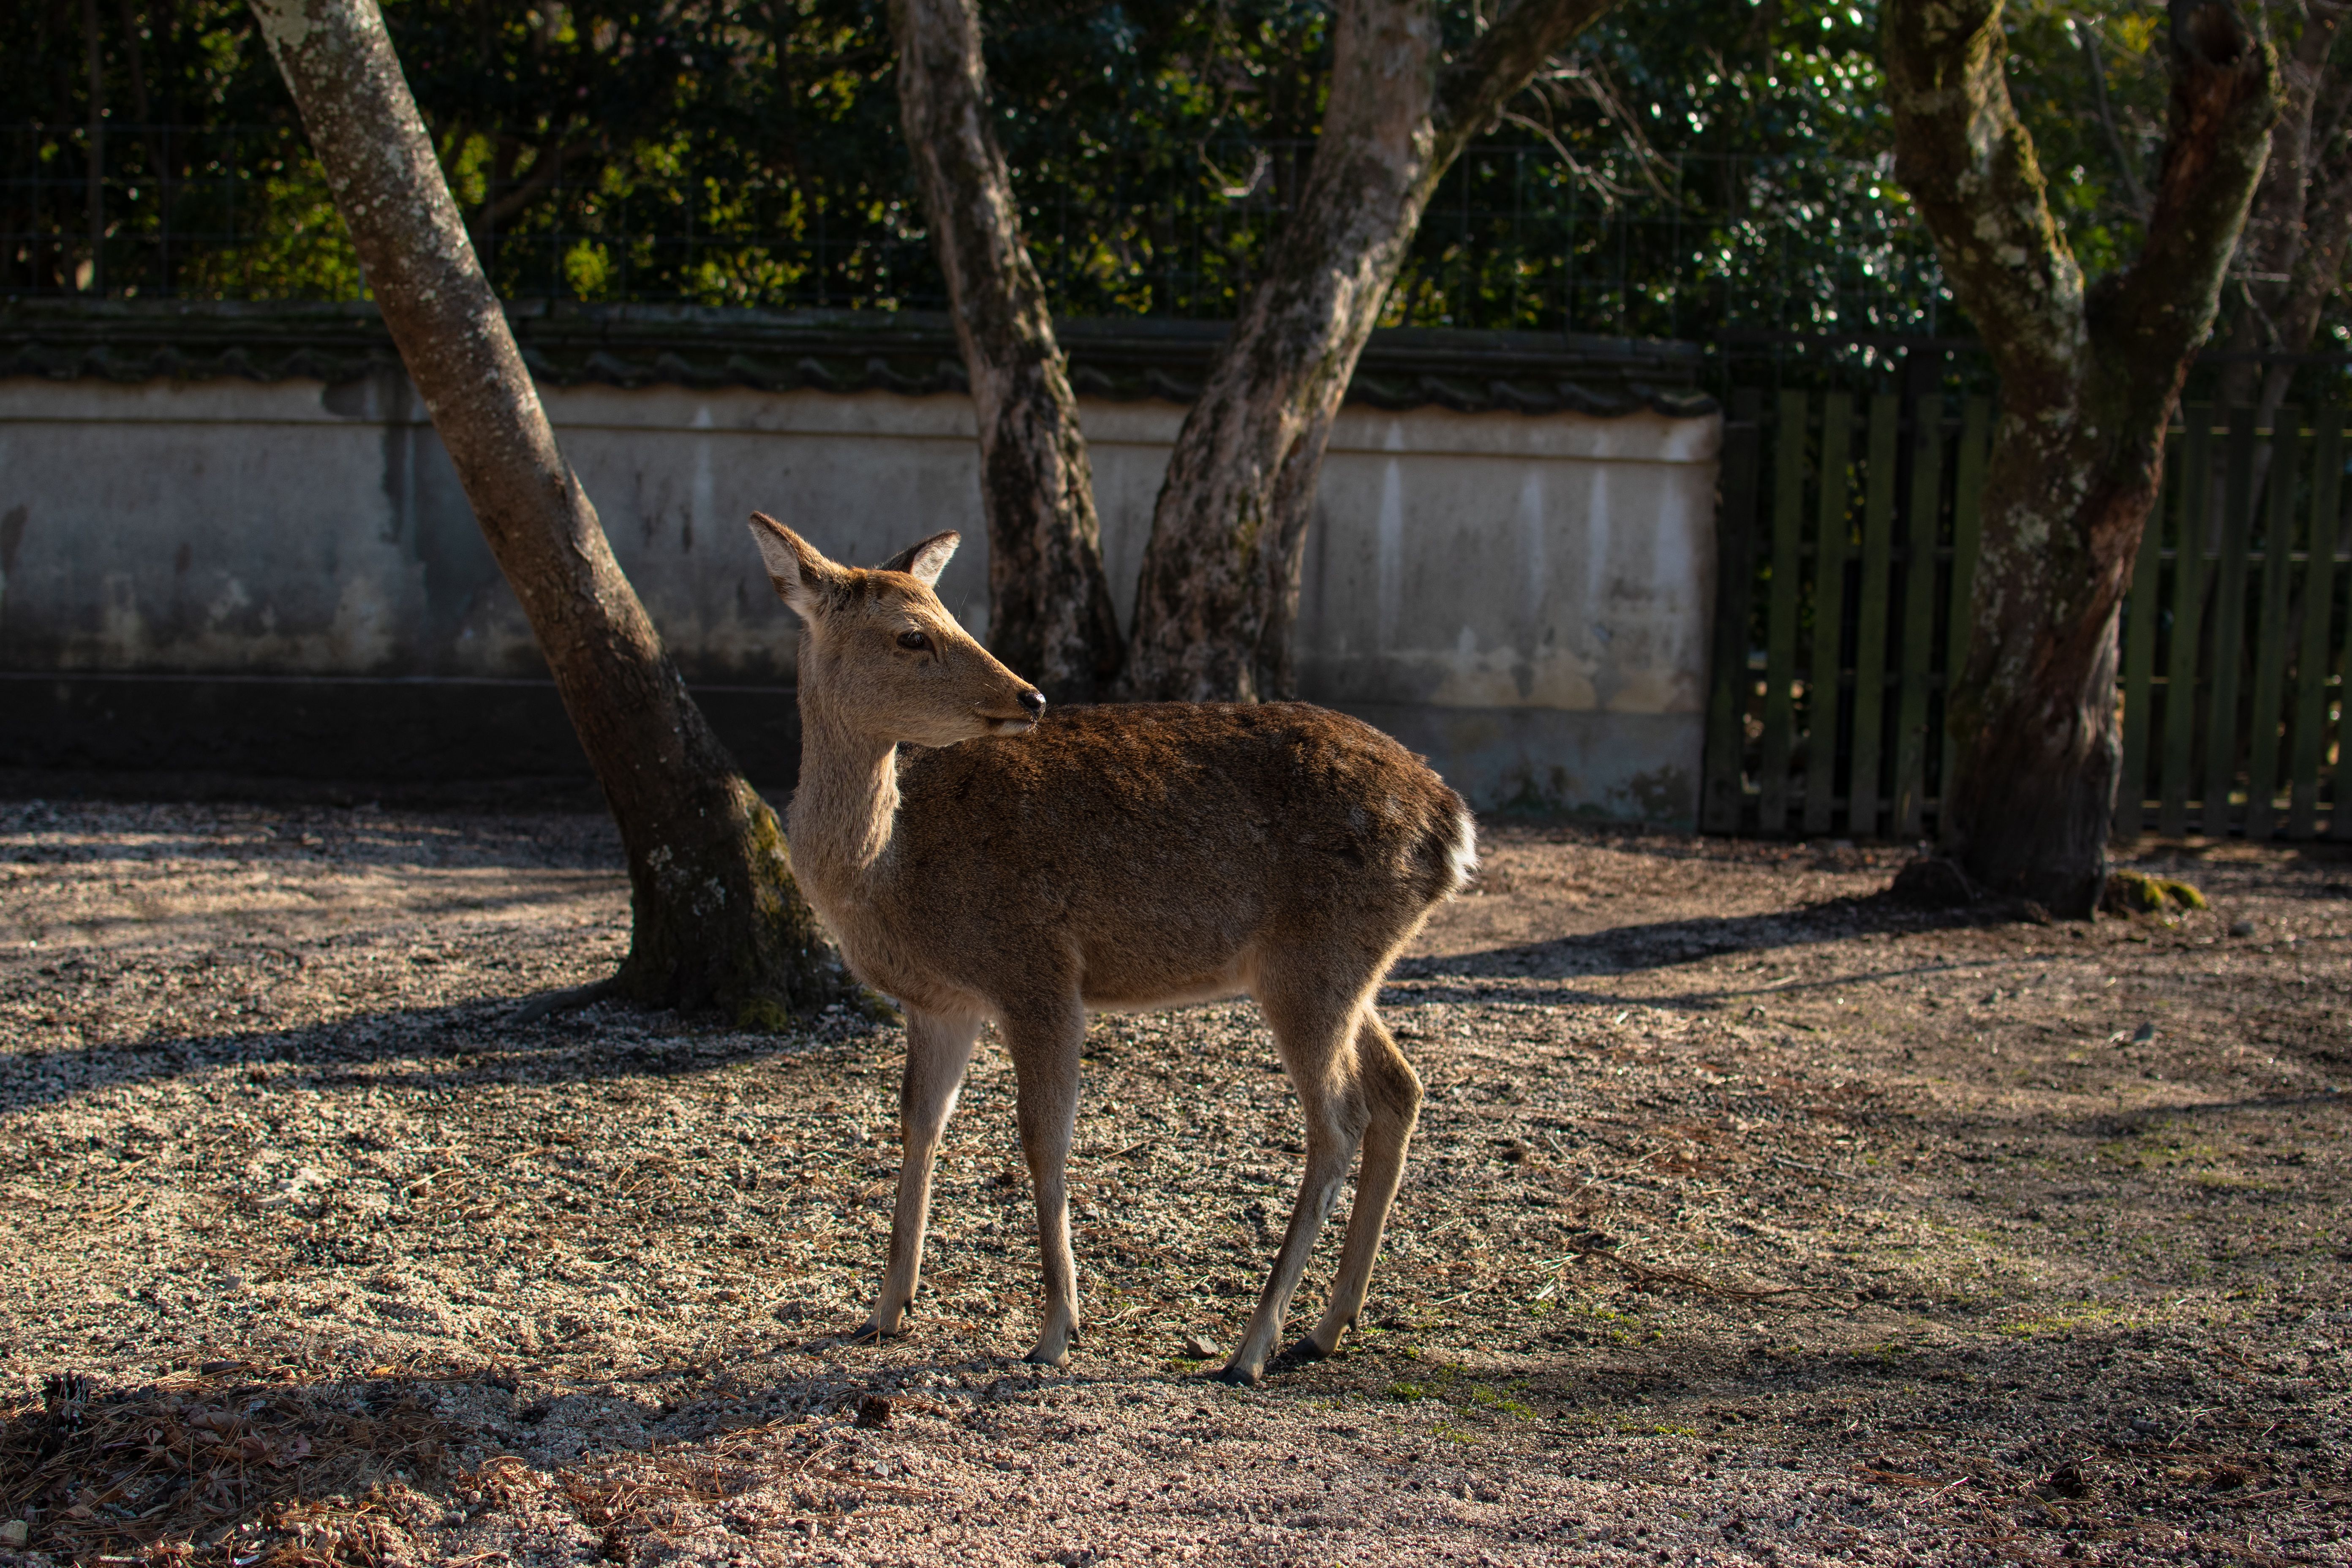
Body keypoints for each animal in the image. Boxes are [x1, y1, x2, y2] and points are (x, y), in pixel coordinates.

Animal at [746, 512, 1474, 1385]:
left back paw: (1250, 1346)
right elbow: (920, 1122)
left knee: (1338, 1121)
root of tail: (1451, 828)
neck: (889, 871)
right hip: (1348, 965)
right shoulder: (940, 1000)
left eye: (949, 616)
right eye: (911, 634)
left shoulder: (1036, 968)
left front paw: (1057, 1329)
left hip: (1313, 960)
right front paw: (886, 1310)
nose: (1027, 695)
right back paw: (1327, 1327)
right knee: (1400, 1087)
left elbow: (1042, 1136)